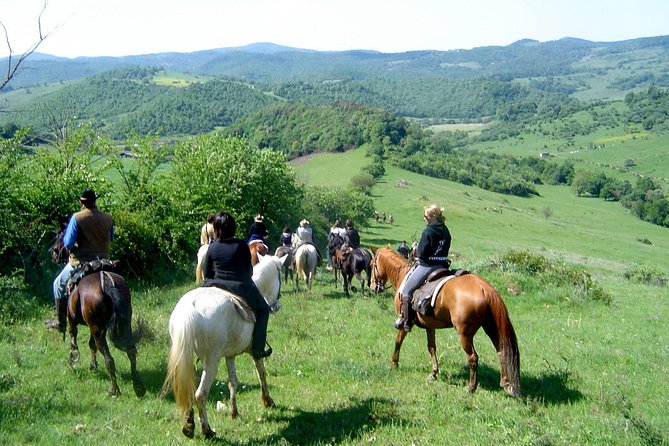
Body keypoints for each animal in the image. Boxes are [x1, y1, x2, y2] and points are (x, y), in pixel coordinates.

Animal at [67, 269, 146, 398]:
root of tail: (107, 284)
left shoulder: (73, 321)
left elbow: (74, 340)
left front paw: (74, 359)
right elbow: (91, 345)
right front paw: (93, 365)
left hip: (97, 330)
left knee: (109, 359)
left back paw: (114, 390)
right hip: (124, 325)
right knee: (131, 352)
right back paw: (138, 387)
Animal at [163, 253, 287, 439]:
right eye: (280, 276)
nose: (277, 306)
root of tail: (189, 308)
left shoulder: (230, 355)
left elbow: (232, 382)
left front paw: (234, 412)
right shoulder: (254, 352)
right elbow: (261, 373)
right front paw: (268, 401)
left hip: (187, 357)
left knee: (188, 390)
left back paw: (189, 426)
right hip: (212, 361)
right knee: (200, 395)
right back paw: (207, 430)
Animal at [370, 246, 521, 397]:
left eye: (371, 265)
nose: (372, 287)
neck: (403, 275)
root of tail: (484, 288)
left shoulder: (405, 321)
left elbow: (398, 341)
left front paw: (394, 363)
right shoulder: (429, 325)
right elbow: (431, 347)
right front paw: (433, 373)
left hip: (465, 334)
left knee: (473, 357)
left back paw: (471, 387)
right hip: (491, 327)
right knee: (501, 351)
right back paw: (506, 384)